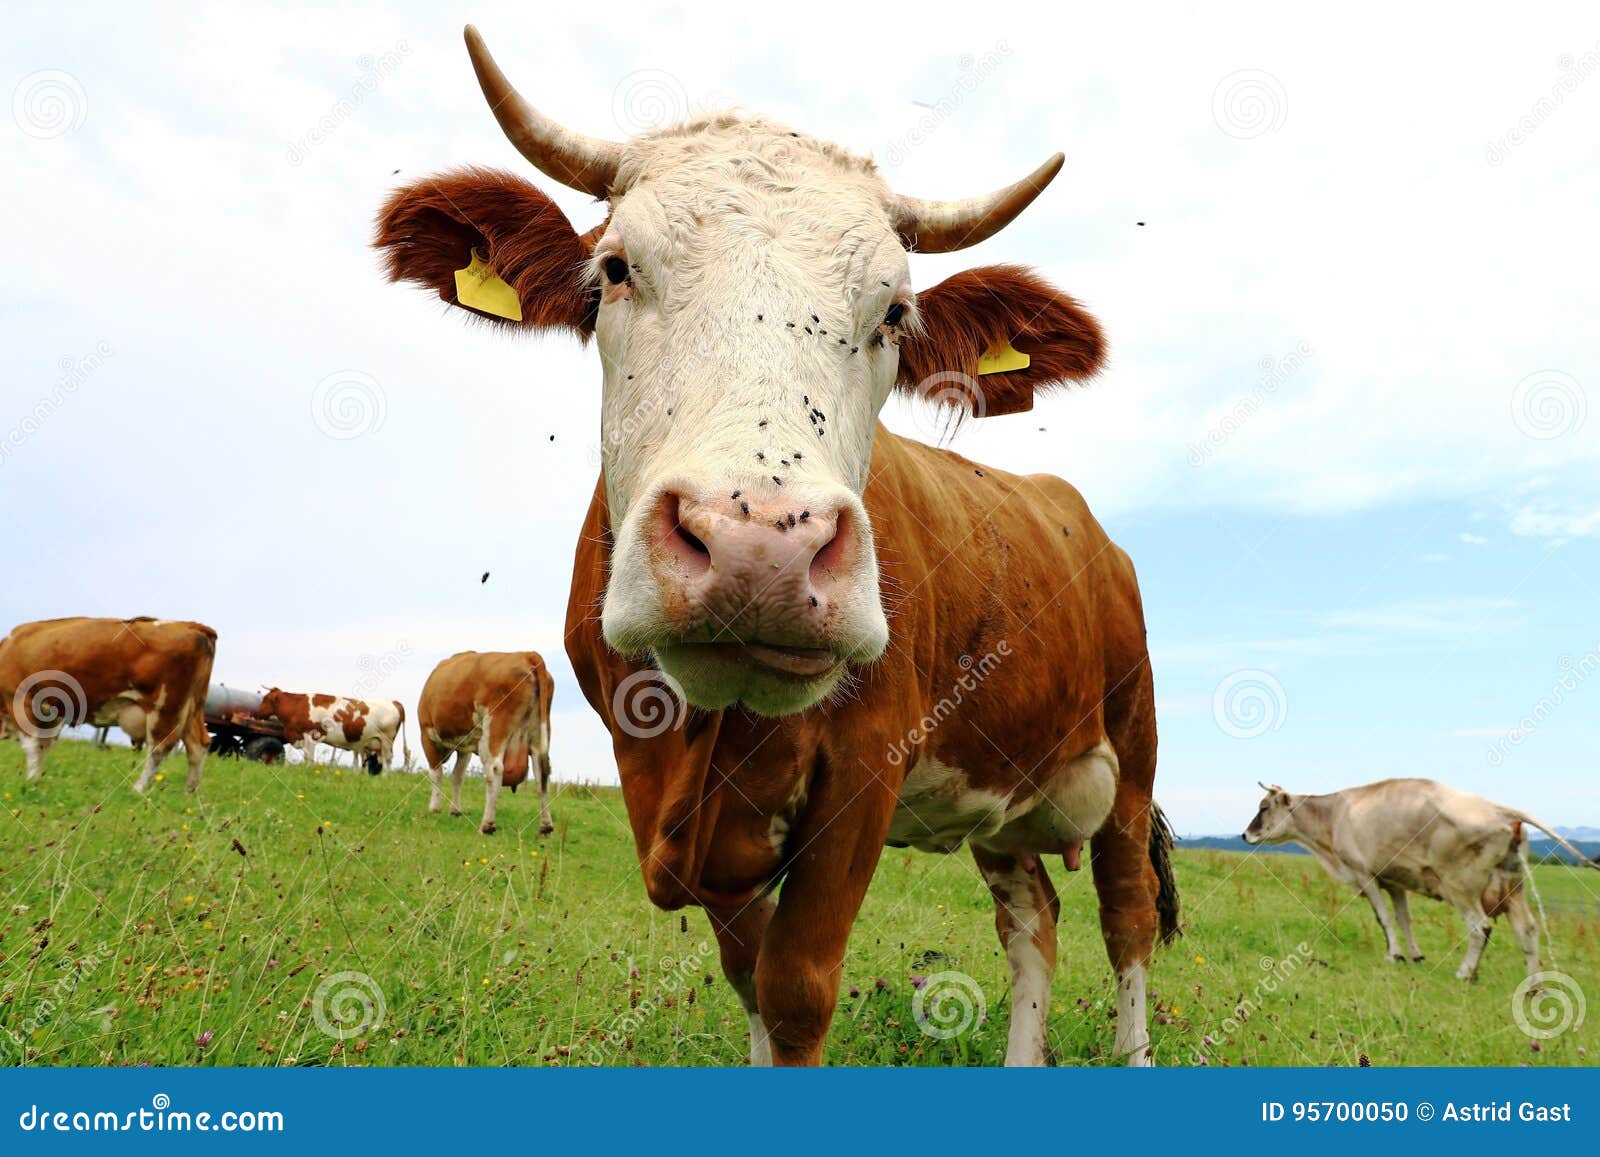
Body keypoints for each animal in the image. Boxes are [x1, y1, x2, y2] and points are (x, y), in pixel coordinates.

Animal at [0, 616, 216, 792]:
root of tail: (191, 626)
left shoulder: (19, 699)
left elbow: (31, 745)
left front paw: (30, 781)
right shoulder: (50, 713)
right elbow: (43, 746)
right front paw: (37, 779)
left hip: (165, 708)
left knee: (159, 748)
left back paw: (138, 789)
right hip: (193, 707)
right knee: (198, 745)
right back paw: (189, 793)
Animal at [253, 688, 410, 774]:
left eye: (266, 699)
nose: (255, 713)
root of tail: (394, 702)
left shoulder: (309, 736)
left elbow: (309, 757)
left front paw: (308, 770)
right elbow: (307, 757)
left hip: (386, 741)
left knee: (387, 760)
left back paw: (384, 777)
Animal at [417, 650, 555, 835]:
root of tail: (525, 655)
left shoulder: (426, 735)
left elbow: (436, 773)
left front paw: (435, 808)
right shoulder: (465, 747)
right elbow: (457, 776)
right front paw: (455, 811)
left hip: (493, 730)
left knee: (494, 770)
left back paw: (487, 825)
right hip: (539, 733)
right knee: (542, 772)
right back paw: (545, 826)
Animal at [1243, 779, 1597, 983]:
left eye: (1264, 807)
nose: (1245, 834)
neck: (1331, 820)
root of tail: (1498, 809)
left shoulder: (1364, 873)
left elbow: (1384, 918)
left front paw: (1394, 955)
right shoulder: (1395, 880)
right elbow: (1404, 918)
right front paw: (1414, 955)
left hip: (1461, 886)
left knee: (1480, 927)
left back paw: (1466, 972)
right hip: (1512, 888)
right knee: (1527, 930)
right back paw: (1533, 983)